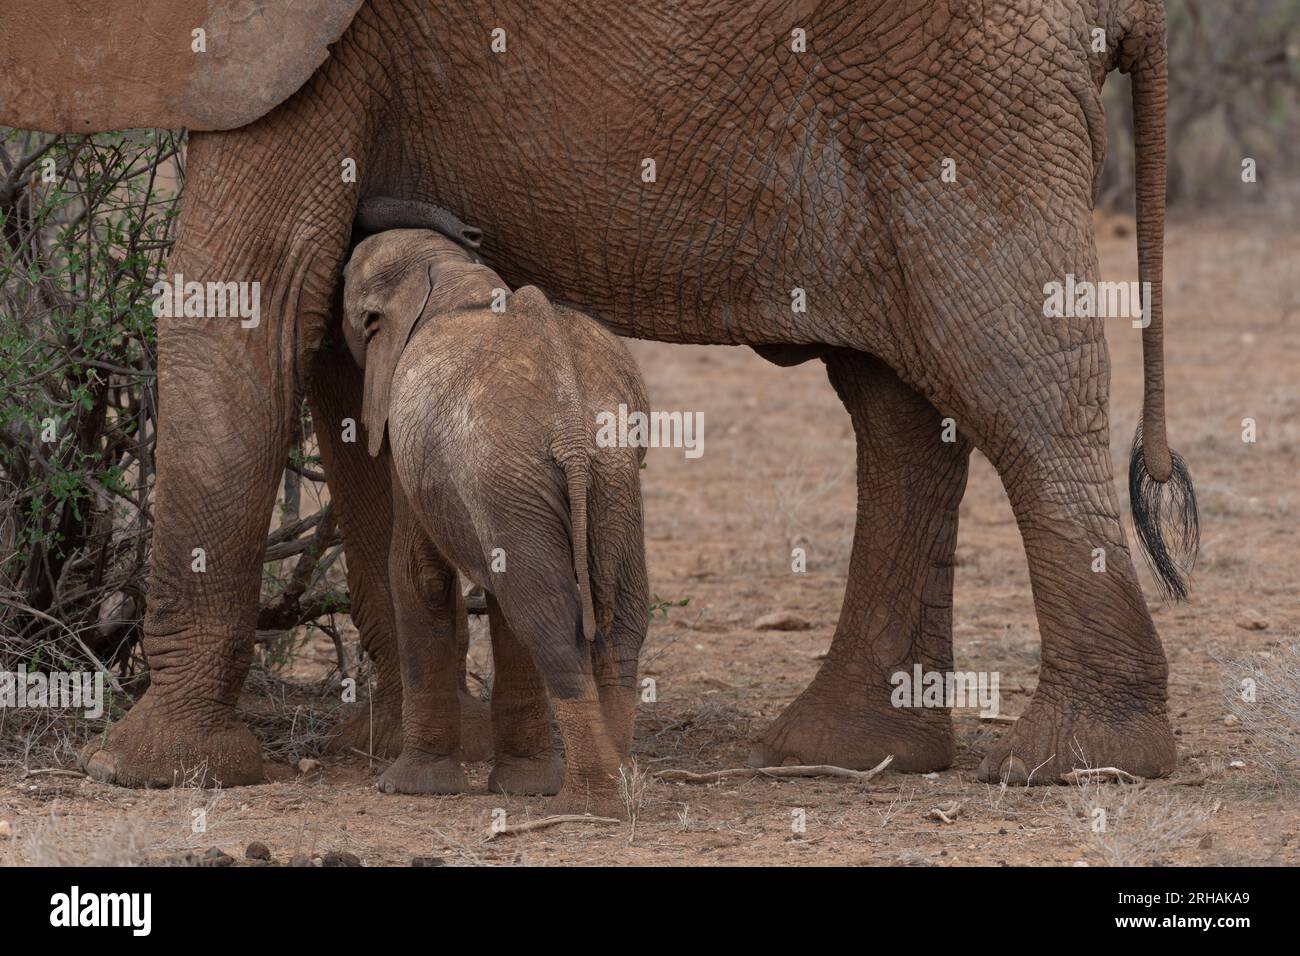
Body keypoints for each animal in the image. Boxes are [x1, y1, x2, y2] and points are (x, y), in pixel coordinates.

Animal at [341, 228, 649, 814]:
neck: (448, 269)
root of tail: (570, 426)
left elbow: (417, 573)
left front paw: (407, 787)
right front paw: (521, 785)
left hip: (513, 469)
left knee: (548, 617)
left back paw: (584, 803)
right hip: (608, 473)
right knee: (615, 612)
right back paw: (618, 789)